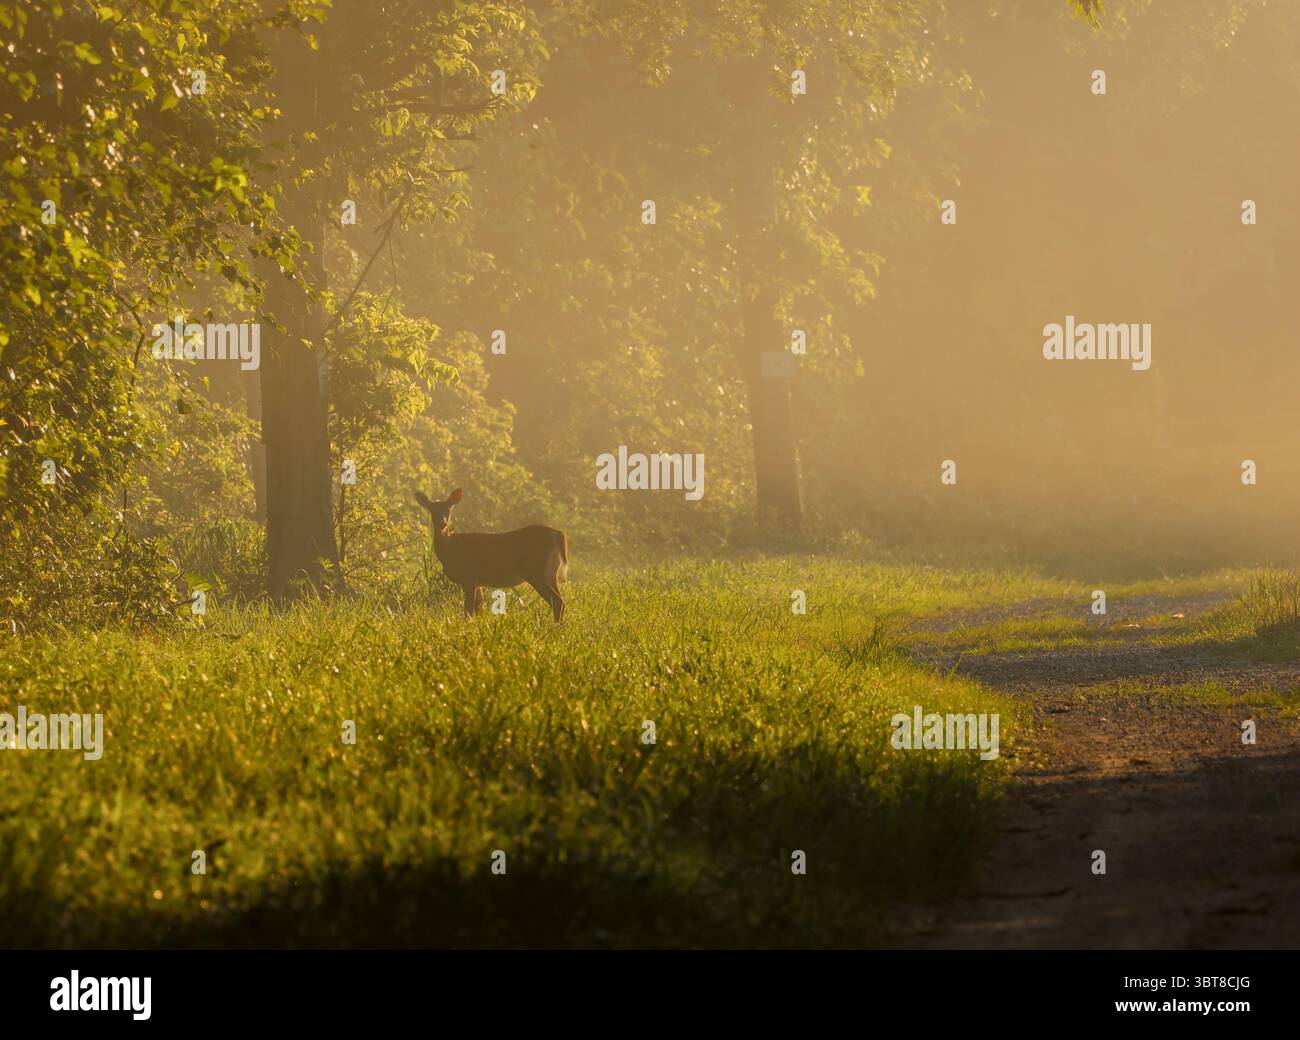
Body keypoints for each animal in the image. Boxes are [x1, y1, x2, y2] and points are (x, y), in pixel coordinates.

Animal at [415, 488, 568, 622]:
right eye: (432, 510)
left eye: (449, 508)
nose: (442, 523)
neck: (451, 549)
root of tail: (557, 534)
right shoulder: (476, 581)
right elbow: (478, 609)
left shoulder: (469, 576)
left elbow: (468, 610)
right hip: (551, 574)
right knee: (561, 601)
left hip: (536, 571)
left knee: (557, 601)